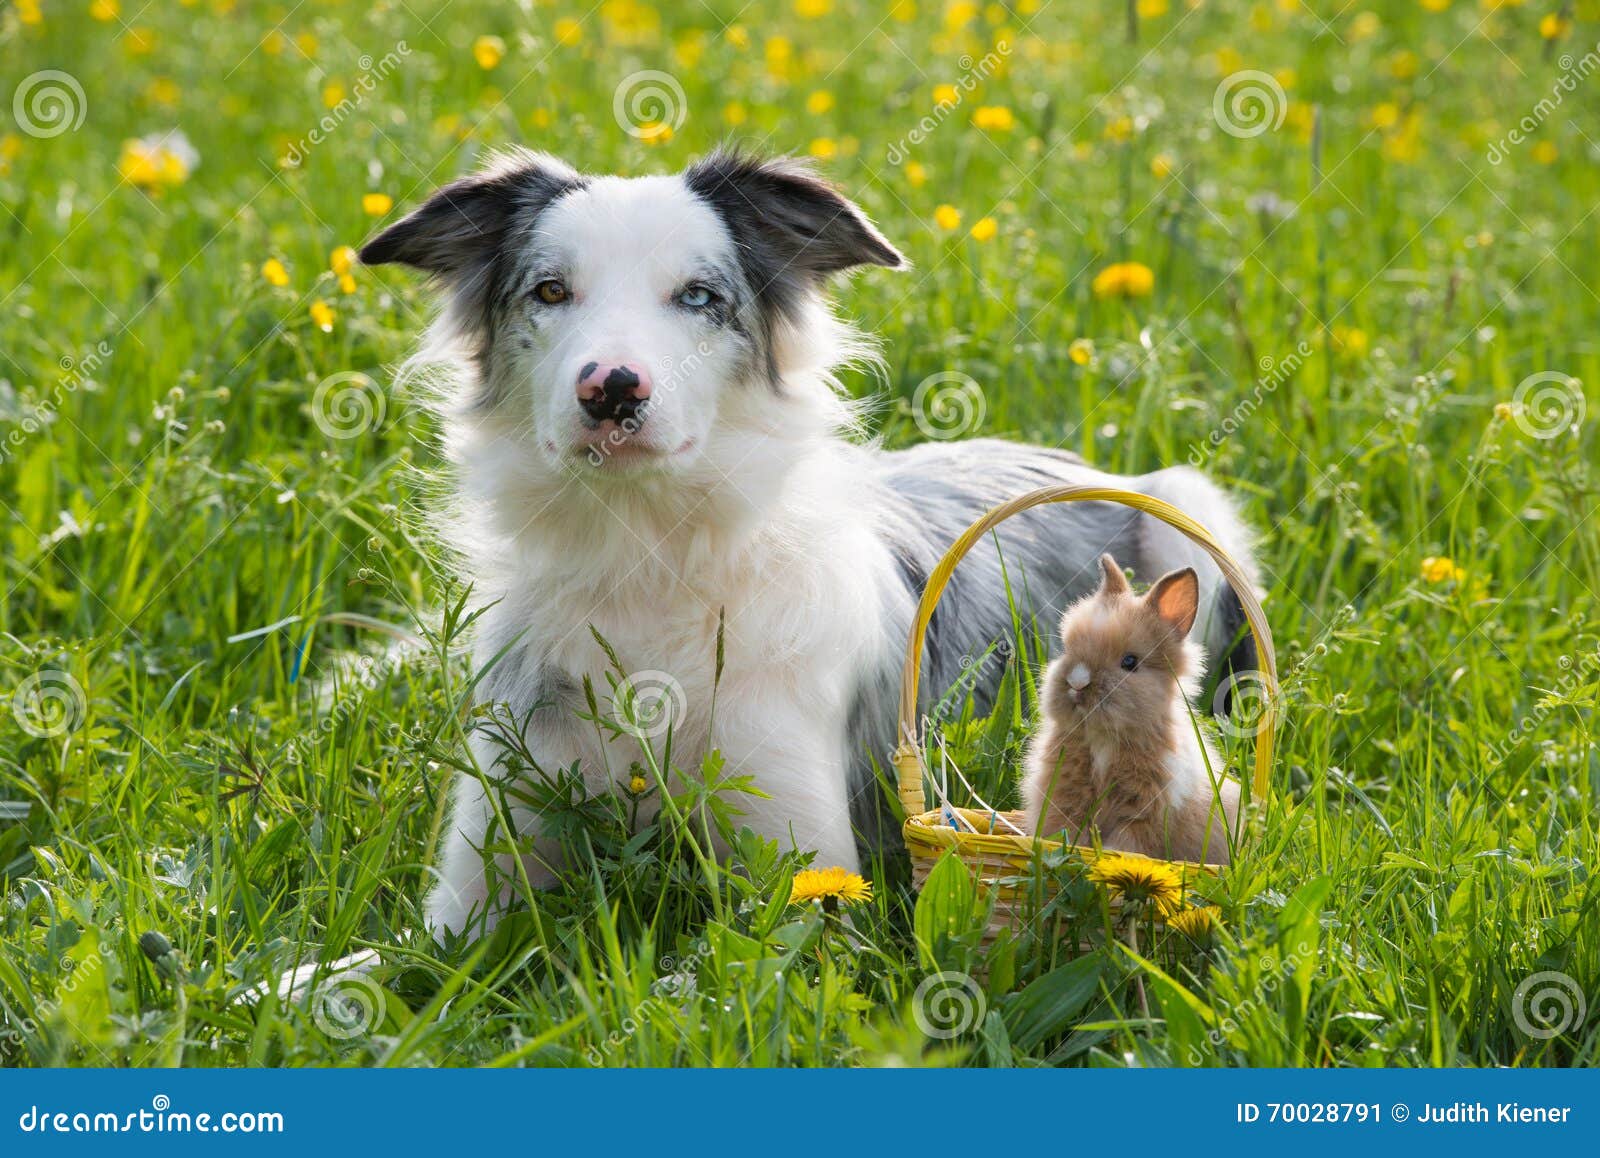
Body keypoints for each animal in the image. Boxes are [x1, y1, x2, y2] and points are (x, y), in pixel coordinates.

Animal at [1021, 553, 1240, 864]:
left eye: (1130, 662)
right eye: (1067, 648)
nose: (1077, 683)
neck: (1104, 739)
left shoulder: (1145, 813)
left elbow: (1127, 845)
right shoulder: (1065, 796)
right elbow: (1065, 829)